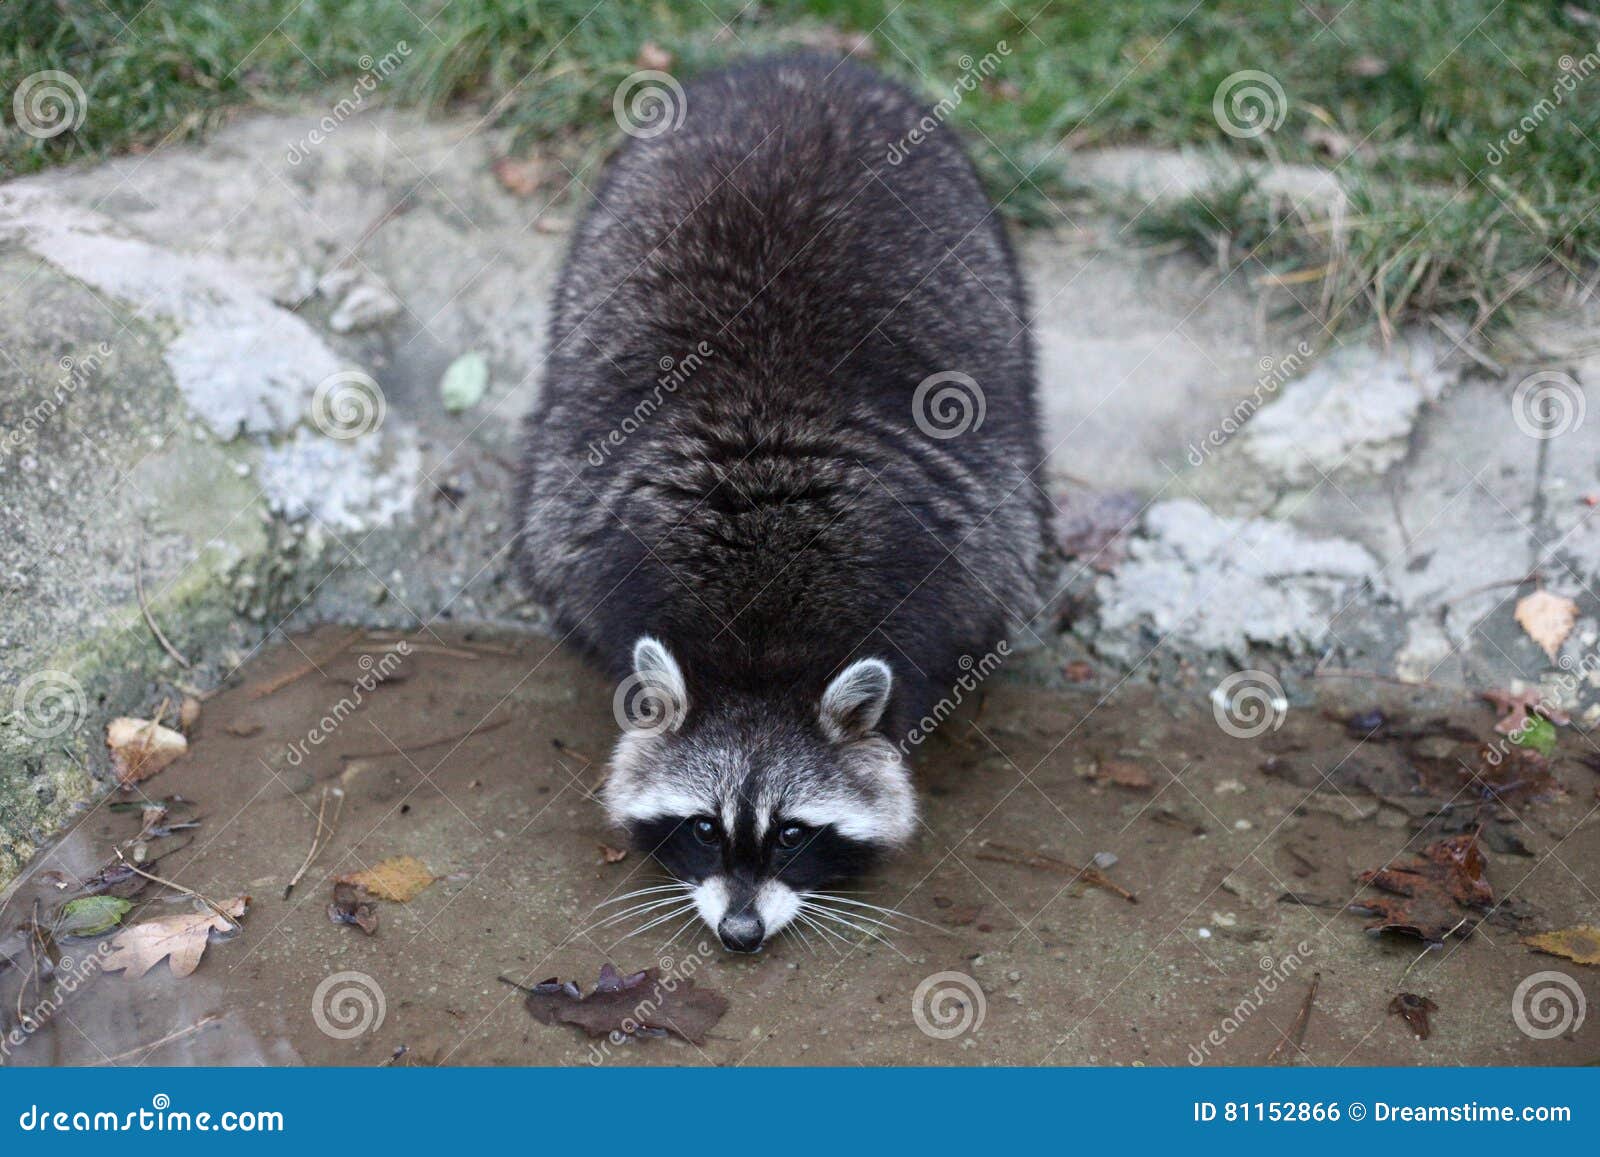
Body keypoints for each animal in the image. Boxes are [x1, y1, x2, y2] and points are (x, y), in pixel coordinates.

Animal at [515, 54, 1049, 952]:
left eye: (794, 834)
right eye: (702, 827)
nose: (740, 932)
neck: (761, 647)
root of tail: (804, 61)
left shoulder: (939, 553)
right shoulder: (612, 531)